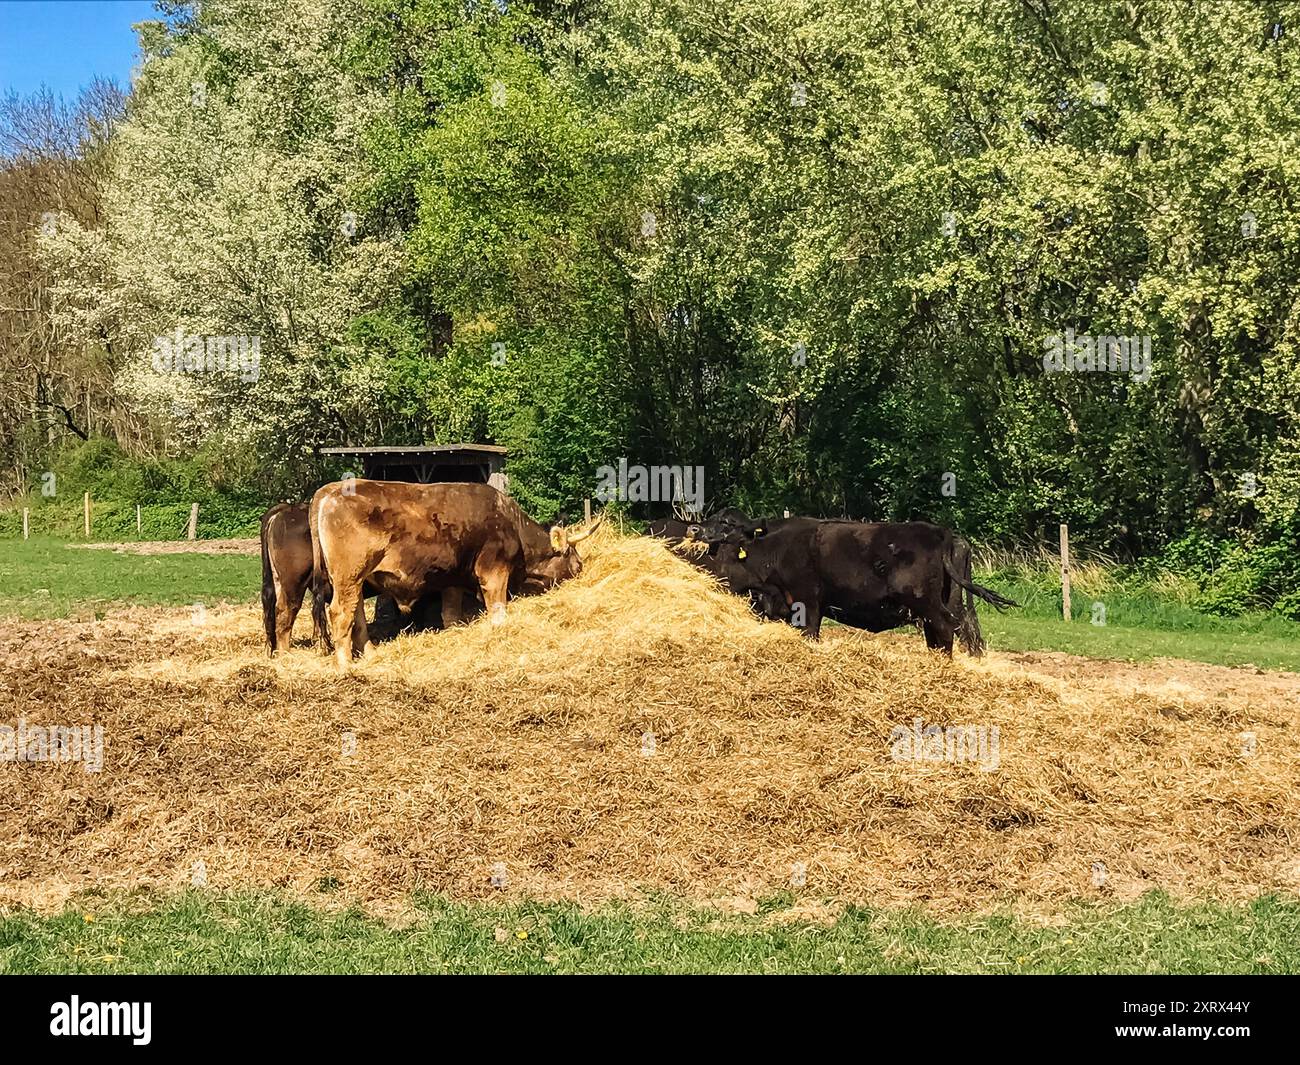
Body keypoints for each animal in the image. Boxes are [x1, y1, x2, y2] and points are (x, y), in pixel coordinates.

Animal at [309, 480, 596, 670]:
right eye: (574, 559)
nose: (582, 567)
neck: (510, 522)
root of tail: (330, 491)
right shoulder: (493, 570)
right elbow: (497, 608)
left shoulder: (452, 580)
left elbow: (450, 614)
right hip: (348, 577)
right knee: (340, 613)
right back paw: (346, 664)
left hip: (354, 581)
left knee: (356, 614)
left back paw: (371, 654)